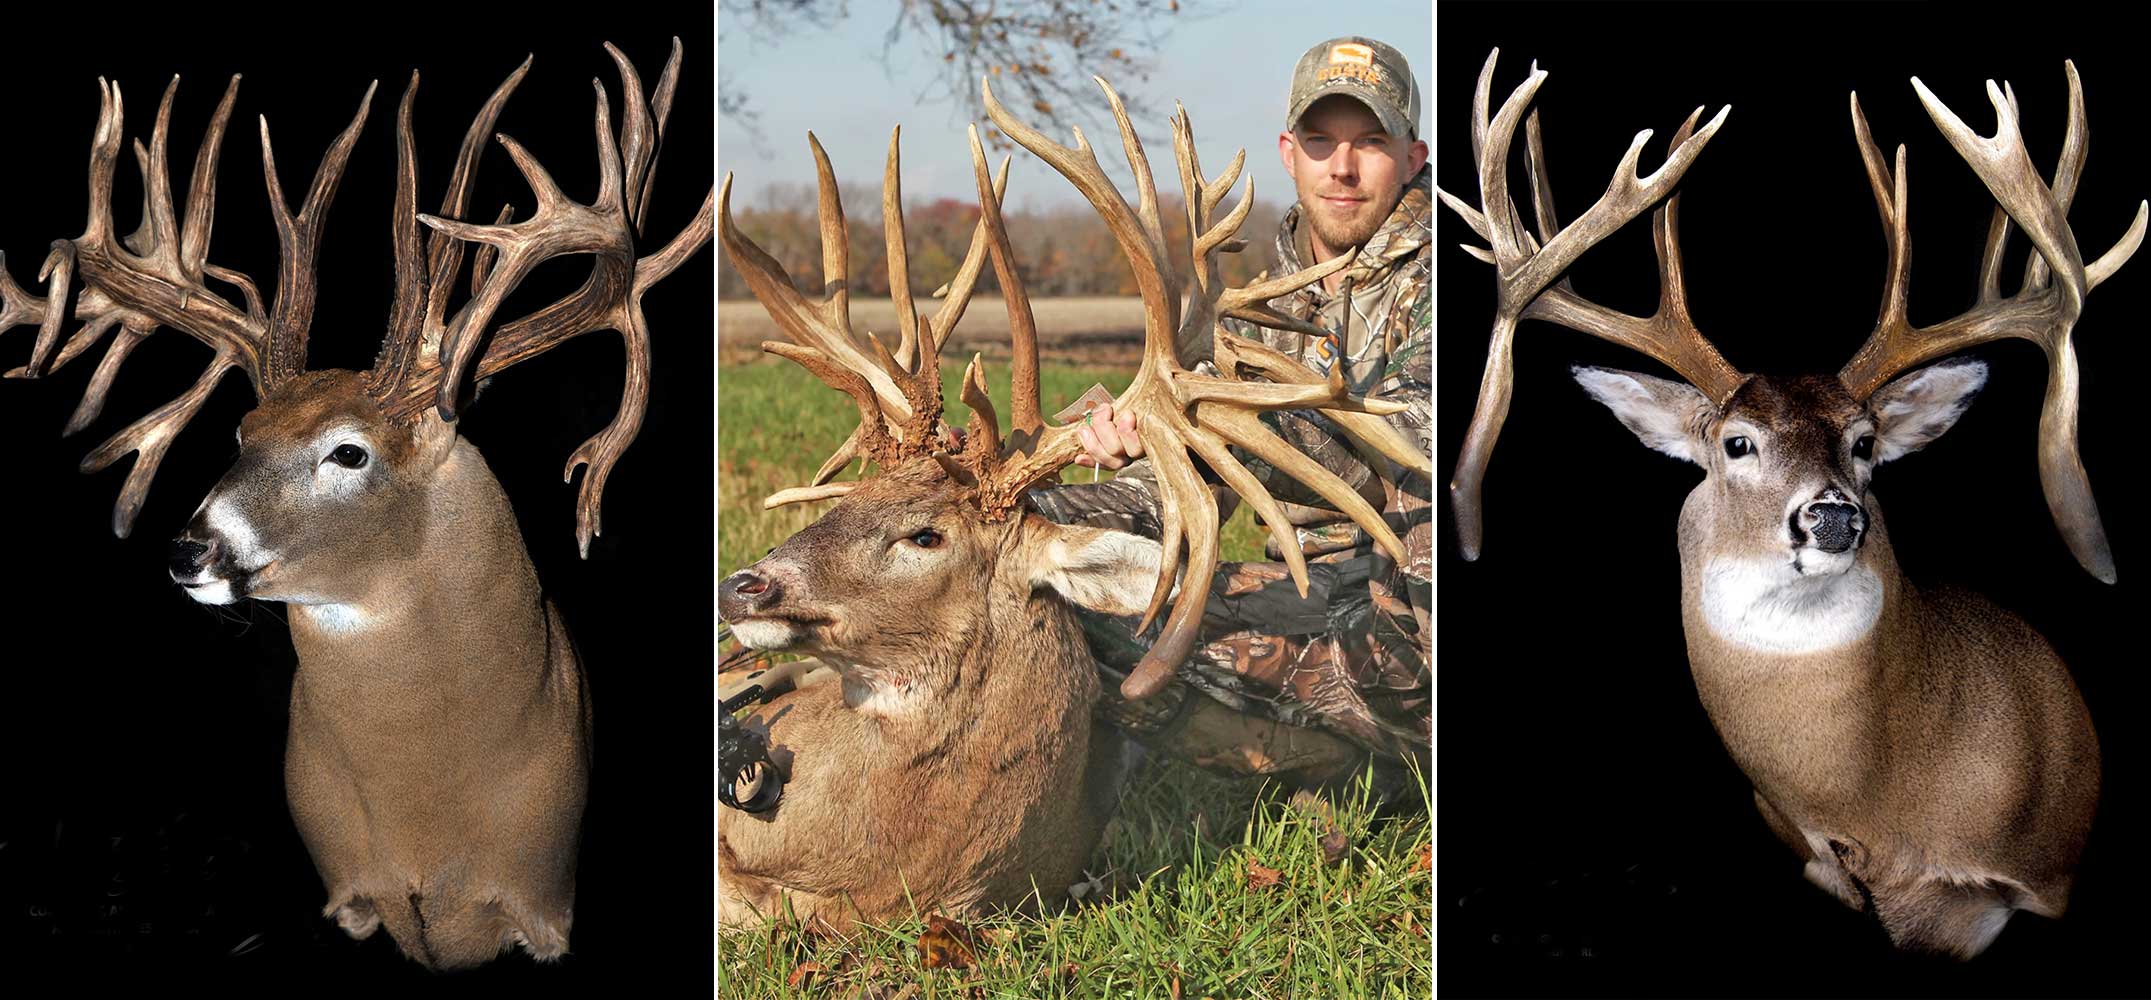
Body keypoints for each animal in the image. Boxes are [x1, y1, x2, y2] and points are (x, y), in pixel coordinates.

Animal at [0, 43, 712, 970]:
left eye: (348, 450)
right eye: (242, 430)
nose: (188, 550)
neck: (427, 822)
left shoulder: (548, 908)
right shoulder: (349, 899)